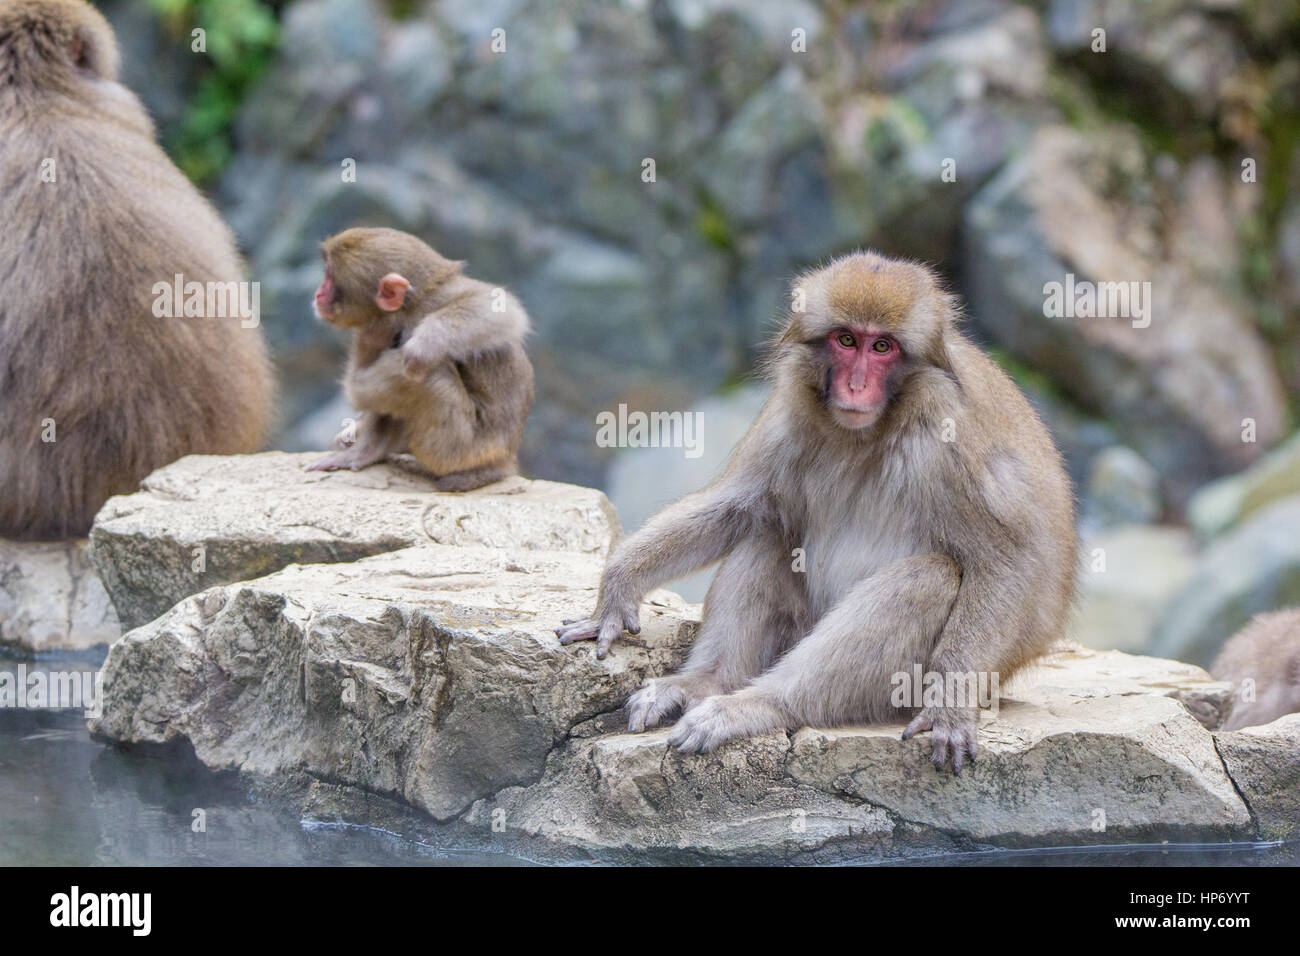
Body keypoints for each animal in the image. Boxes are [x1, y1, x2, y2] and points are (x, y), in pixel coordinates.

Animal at [306, 227, 533, 491]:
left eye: (330, 278)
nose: (319, 293)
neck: (409, 306)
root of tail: (506, 459)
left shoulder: (423, 312)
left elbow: (499, 308)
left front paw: (424, 345)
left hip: (459, 449)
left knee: (425, 377)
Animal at [557, 251, 1077, 773]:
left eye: (882, 346)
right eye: (846, 340)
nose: (856, 384)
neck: (872, 428)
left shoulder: (950, 427)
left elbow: (1006, 564)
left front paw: (950, 707)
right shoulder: (789, 409)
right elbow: (736, 504)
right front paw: (617, 587)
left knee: (930, 578)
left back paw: (758, 705)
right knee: (767, 534)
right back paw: (704, 683)